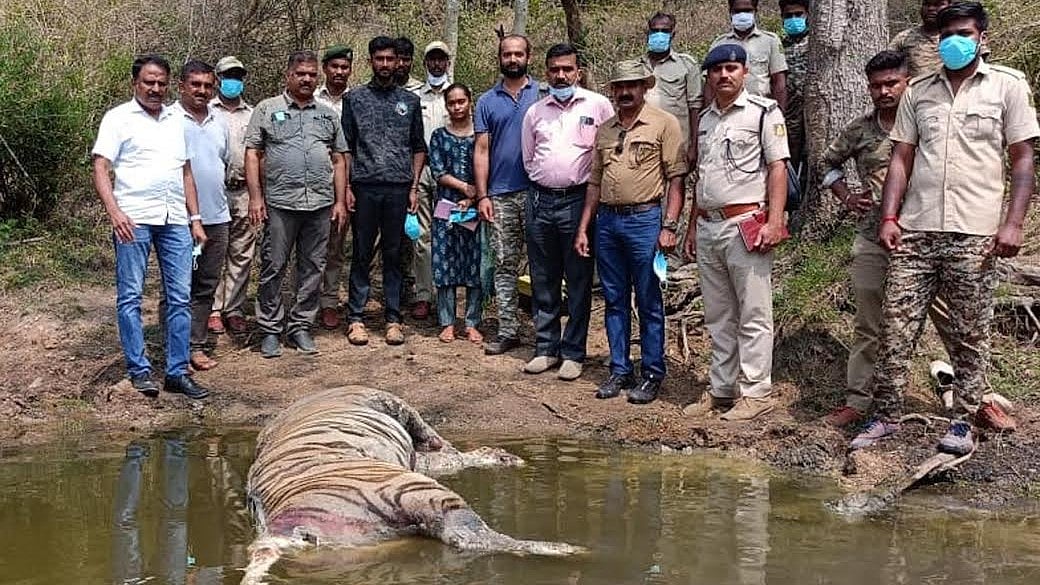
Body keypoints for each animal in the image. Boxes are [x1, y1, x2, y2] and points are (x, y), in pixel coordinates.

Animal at [241, 385, 585, 584]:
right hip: (411, 489)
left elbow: (450, 457)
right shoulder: (399, 413)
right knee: (468, 535)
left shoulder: (417, 458)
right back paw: (565, 549)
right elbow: (439, 441)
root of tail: (277, 531)